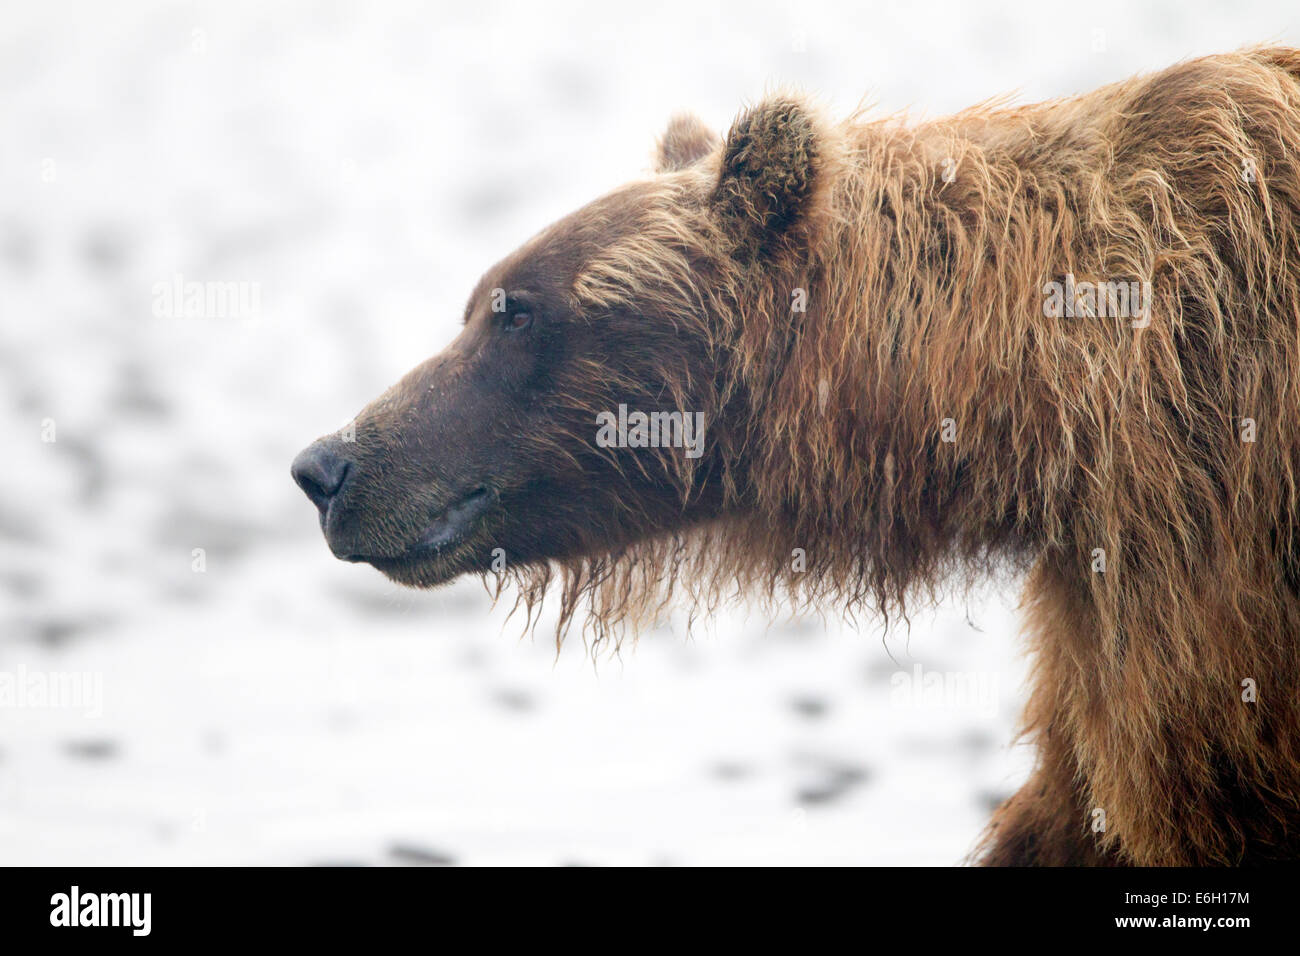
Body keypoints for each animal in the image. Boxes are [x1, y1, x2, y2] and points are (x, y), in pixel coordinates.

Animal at [293, 46, 1300, 866]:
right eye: (478, 303)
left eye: (517, 310)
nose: (325, 466)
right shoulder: (1104, 574)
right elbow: (1075, 807)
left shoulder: (1196, 525)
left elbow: (1186, 779)